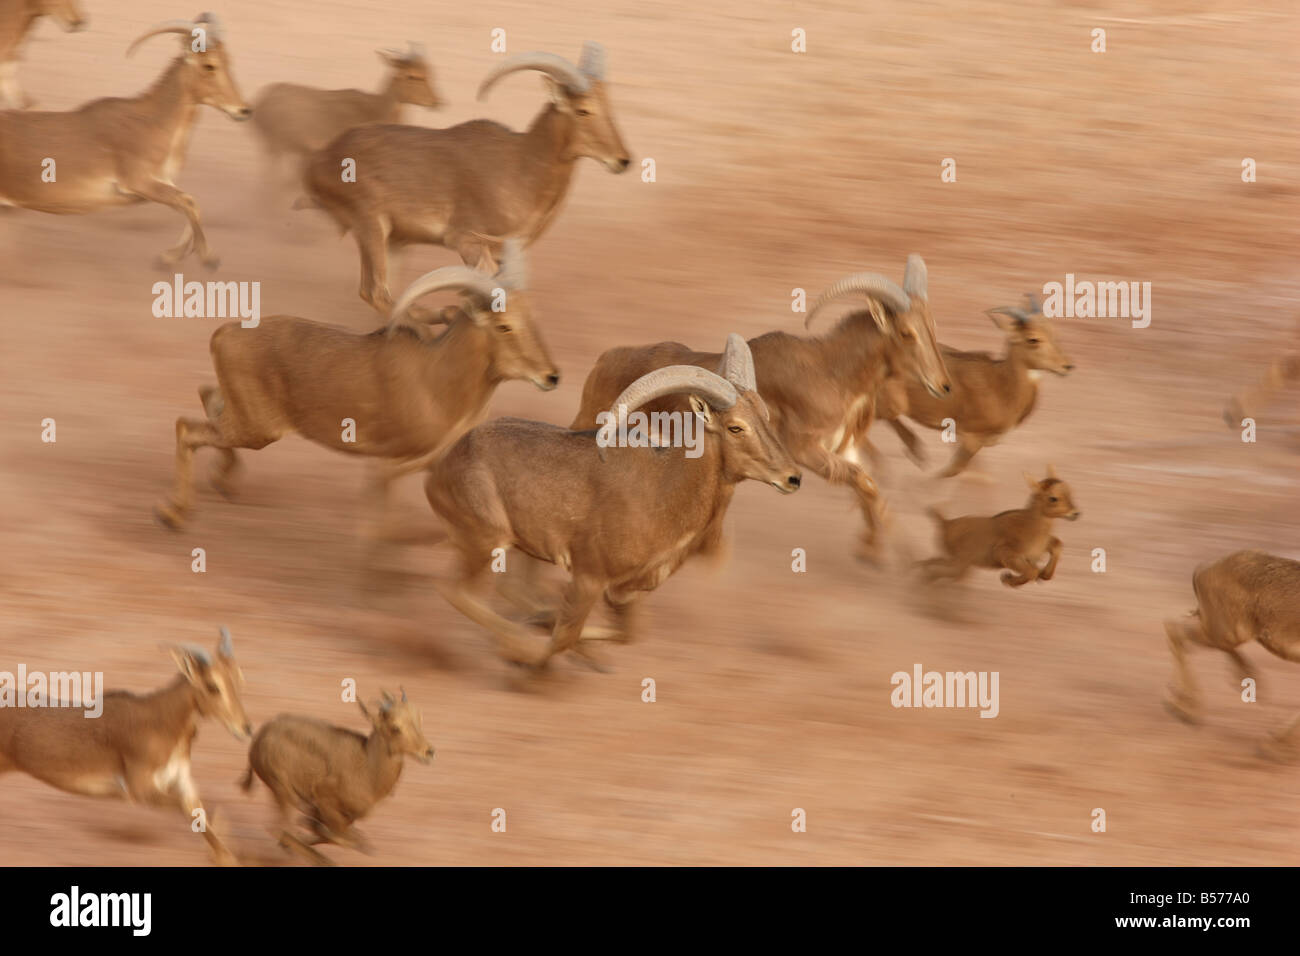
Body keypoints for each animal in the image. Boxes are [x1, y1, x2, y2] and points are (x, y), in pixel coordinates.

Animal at [240, 688, 435, 865]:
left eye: (419, 719)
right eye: (396, 728)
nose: (429, 752)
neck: (368, 770)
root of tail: (258, 738)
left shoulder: (346, 816)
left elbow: (329, 833)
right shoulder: (325, 801)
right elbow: (340, 837)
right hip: (282, 791)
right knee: (277, 827)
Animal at [918, 465, 1081, 586]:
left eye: (1070, 491)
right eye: (1053, 498)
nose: (1076, 513)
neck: (1031, 529)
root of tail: (945, 523)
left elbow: (1056, 545)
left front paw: (1044, 575)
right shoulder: (1005, 553)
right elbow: (1031, 571)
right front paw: (1007, 579)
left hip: (958, 562)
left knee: (932, 564)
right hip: (958, 562)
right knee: (937, 570)